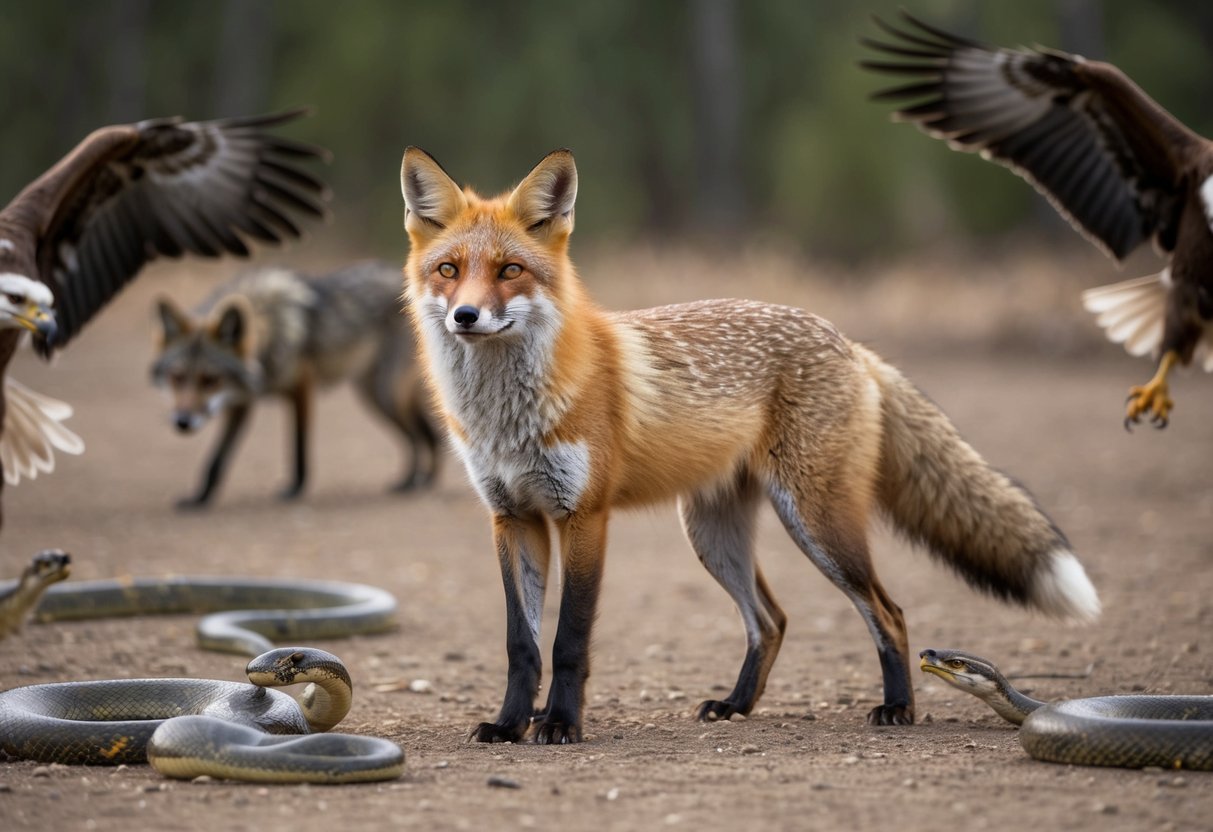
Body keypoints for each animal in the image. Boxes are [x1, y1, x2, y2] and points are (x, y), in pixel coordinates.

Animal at [151, 261, 441, 508]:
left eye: (210, 380)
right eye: (177, 377)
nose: (182, 422)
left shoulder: (302, 388)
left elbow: (298, 446)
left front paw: (294, 489)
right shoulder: (240, 401)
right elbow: (216, 460)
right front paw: (199, 499)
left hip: (386, 395)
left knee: (427, 435)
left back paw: (423, 482)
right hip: (375, 398)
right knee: (419, 437)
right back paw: (415, 480)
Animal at [399, 147, 1101, 744]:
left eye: (510, 271)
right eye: (449, 271)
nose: (465, 316)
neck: (506, 417)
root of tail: (848, 343)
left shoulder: (584, 516)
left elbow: (569, 639)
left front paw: (561, 724)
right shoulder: (512, 517)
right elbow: (521, 644)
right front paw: (508, 725)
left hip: (817, 523)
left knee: (889, 611)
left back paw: (898, 706)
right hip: (713, 534)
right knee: (771, 619)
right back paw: (737, 705)